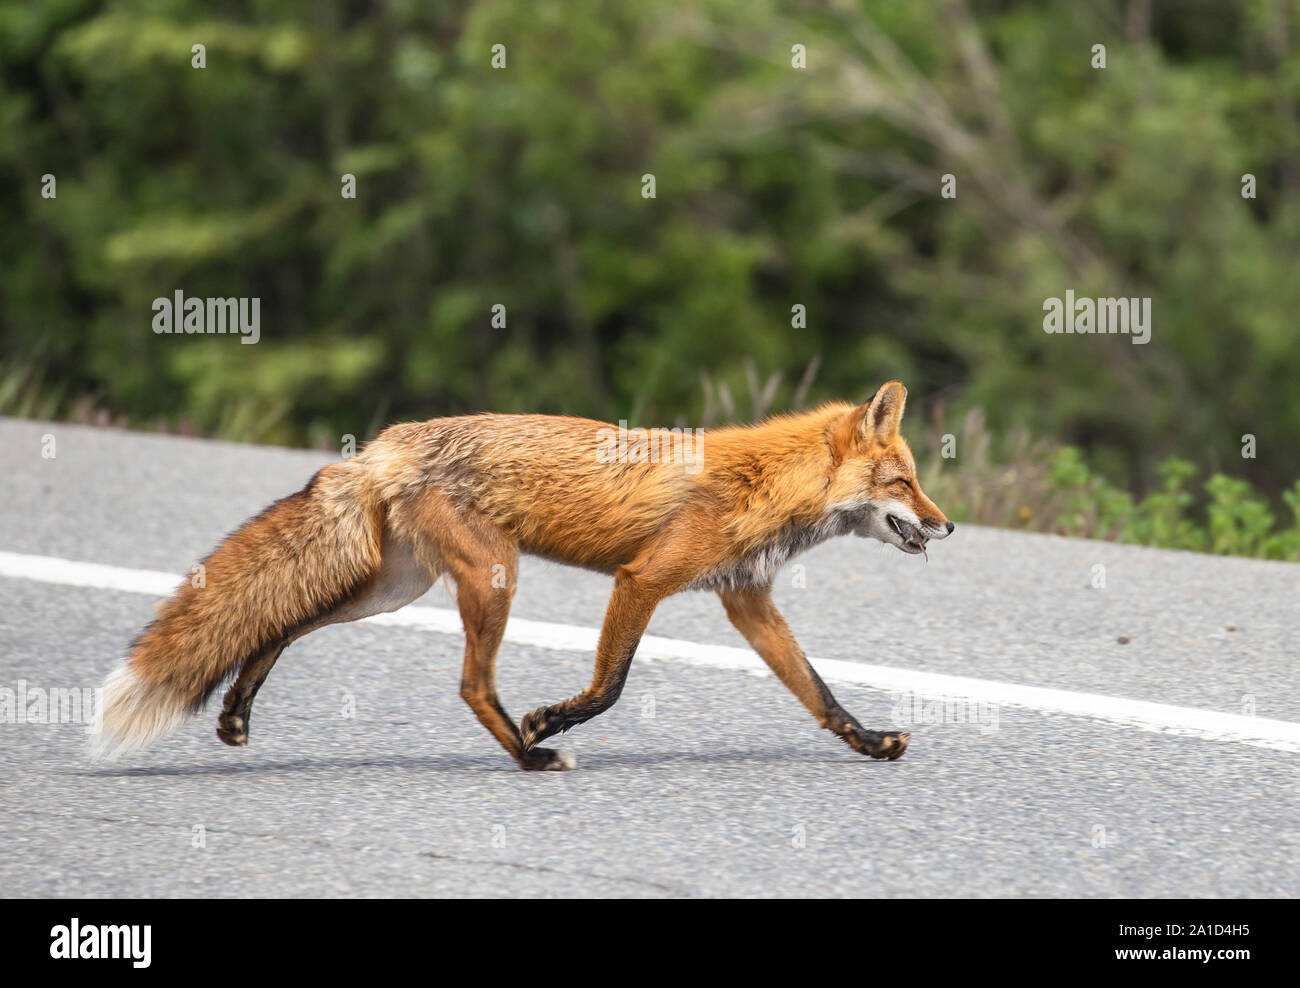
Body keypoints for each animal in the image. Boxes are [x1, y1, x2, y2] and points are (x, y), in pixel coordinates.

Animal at [91, 380, 953, 770]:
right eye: (906, 483)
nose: (948, 525)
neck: (766, 484)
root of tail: (386, 442)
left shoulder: (748, 603)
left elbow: (819, 693)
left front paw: (872, 742)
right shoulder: (642, 579)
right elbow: (609, 687)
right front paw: (550, 723)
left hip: (394, 590)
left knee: (282, 622)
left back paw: (237, 711)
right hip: (493, 578)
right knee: (473, 686)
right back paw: (528, 755)